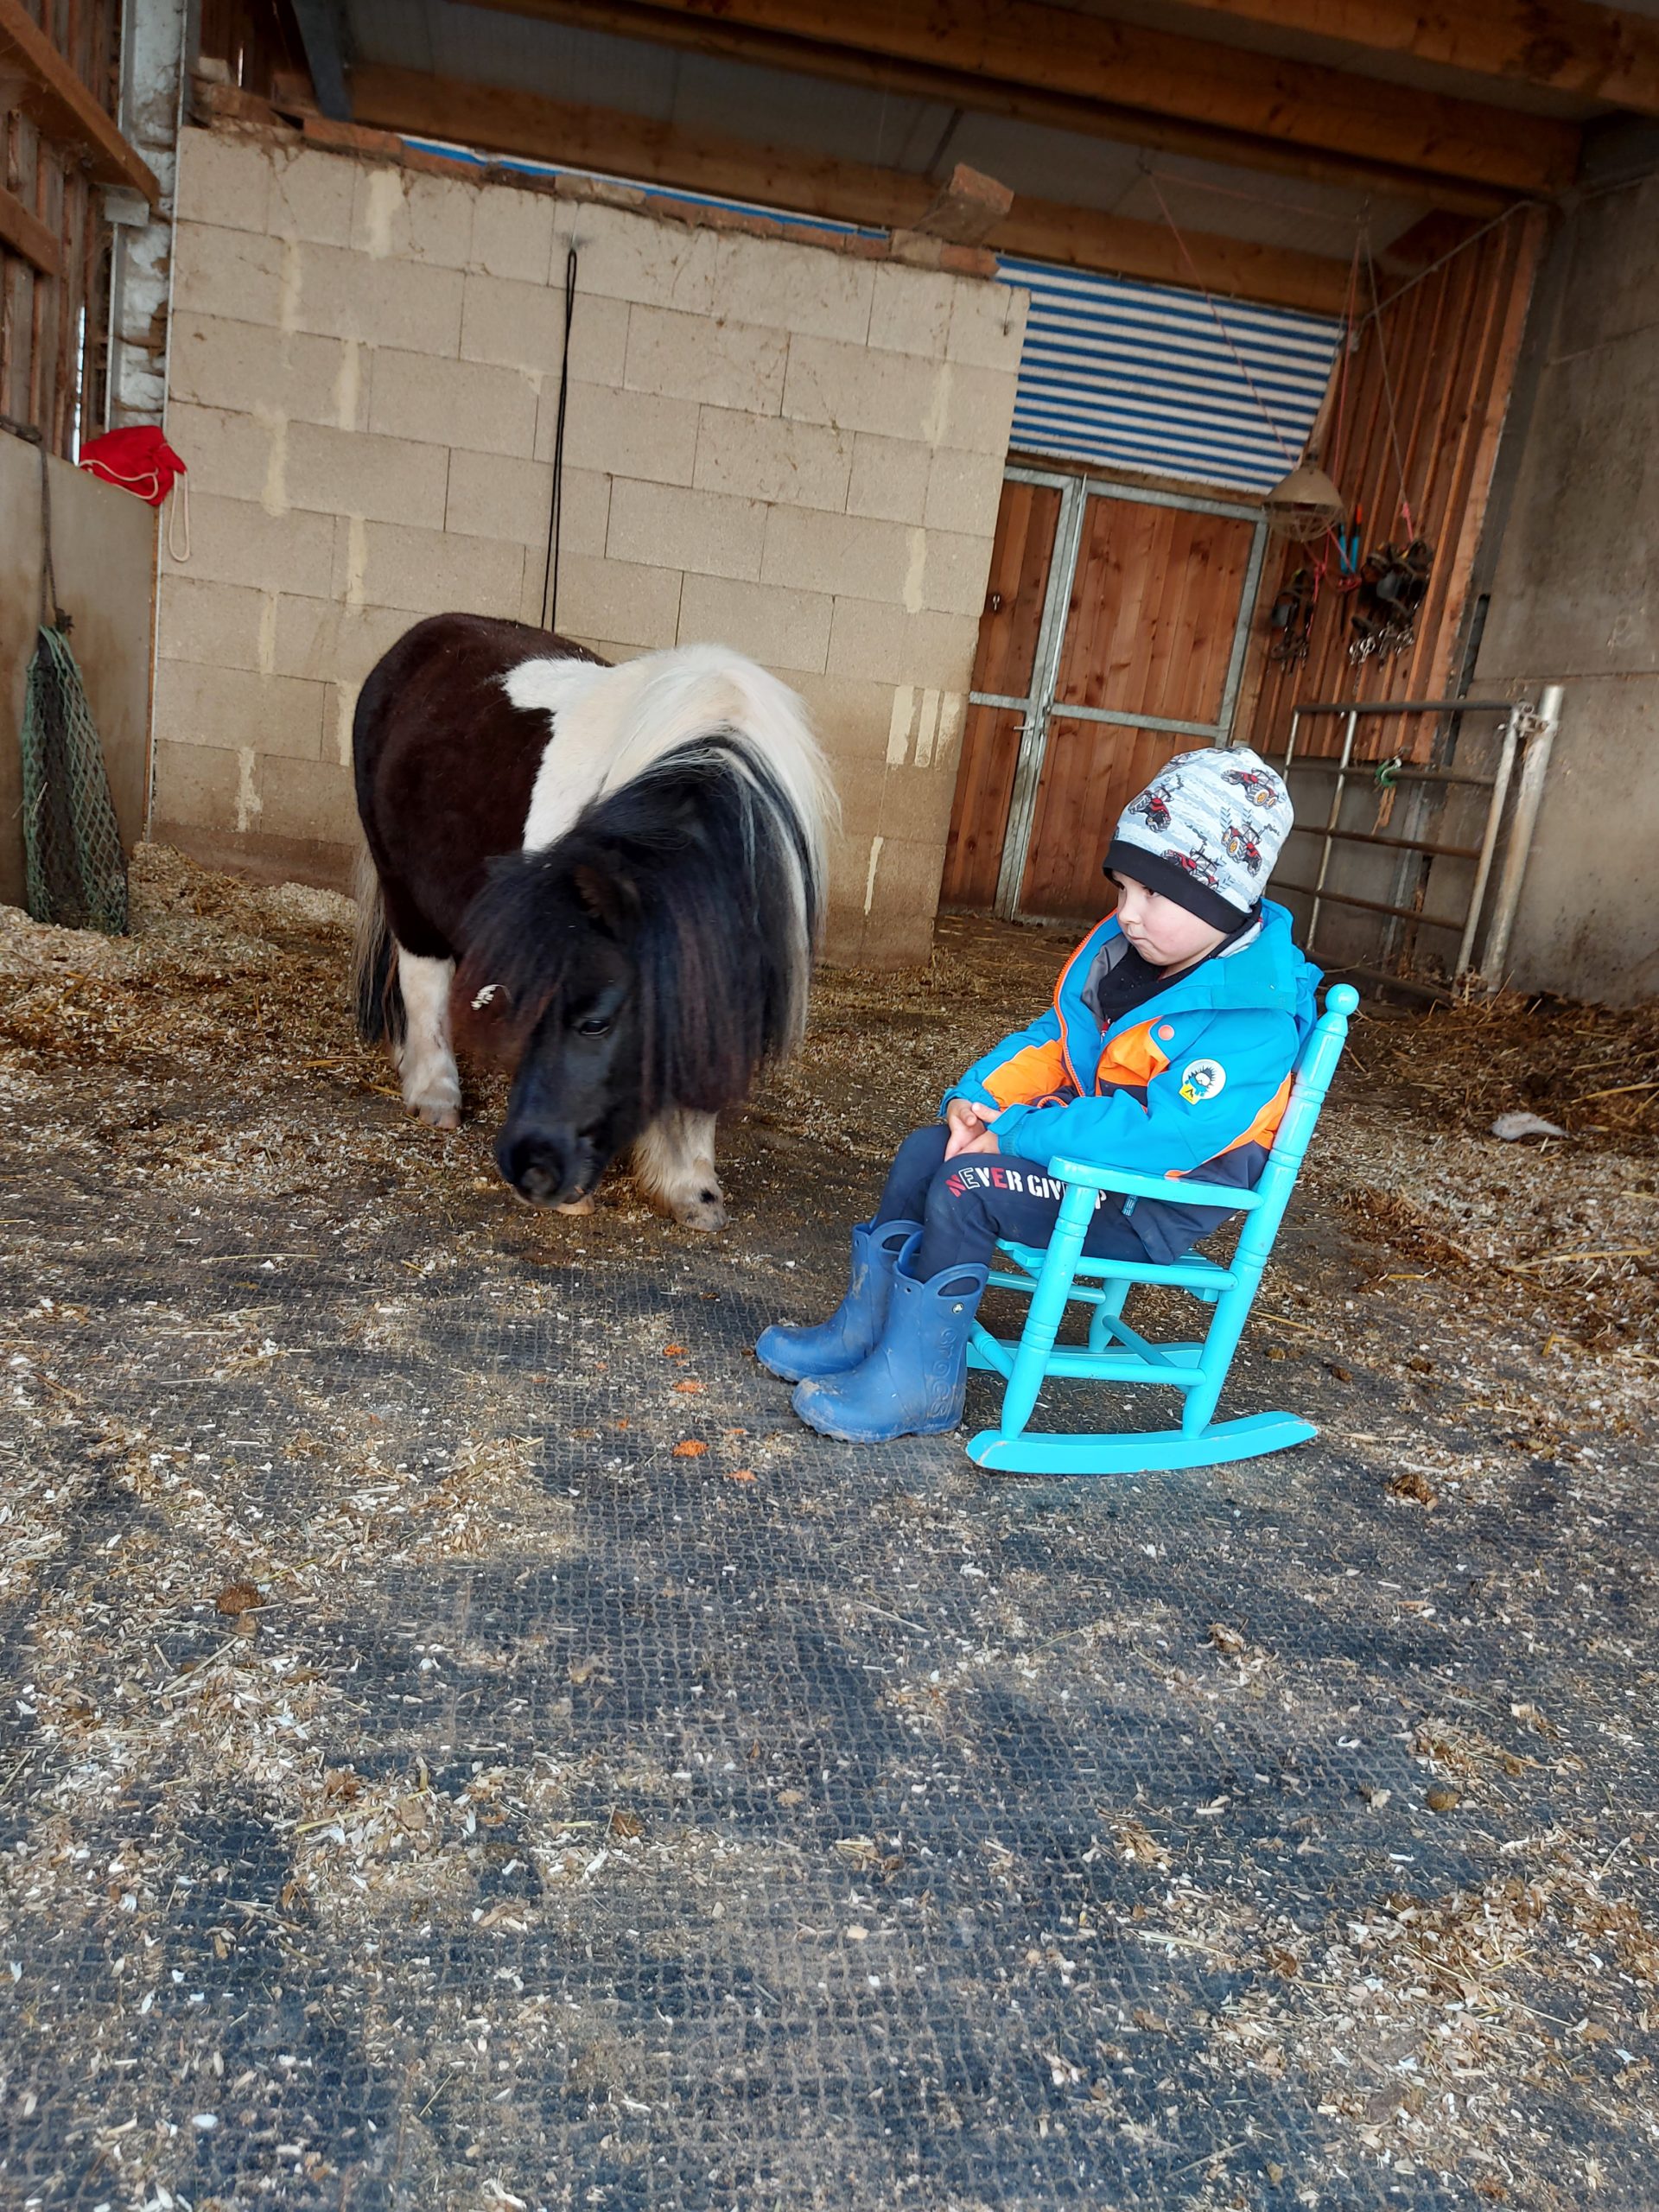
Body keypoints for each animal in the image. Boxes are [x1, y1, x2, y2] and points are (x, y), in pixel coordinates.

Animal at [350, 613, 834, 1231]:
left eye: (596, 1024)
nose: (532, 1173)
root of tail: (424, 637)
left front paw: (690, 1188)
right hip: (403, 892)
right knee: (423, 982)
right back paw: (435, 1092)